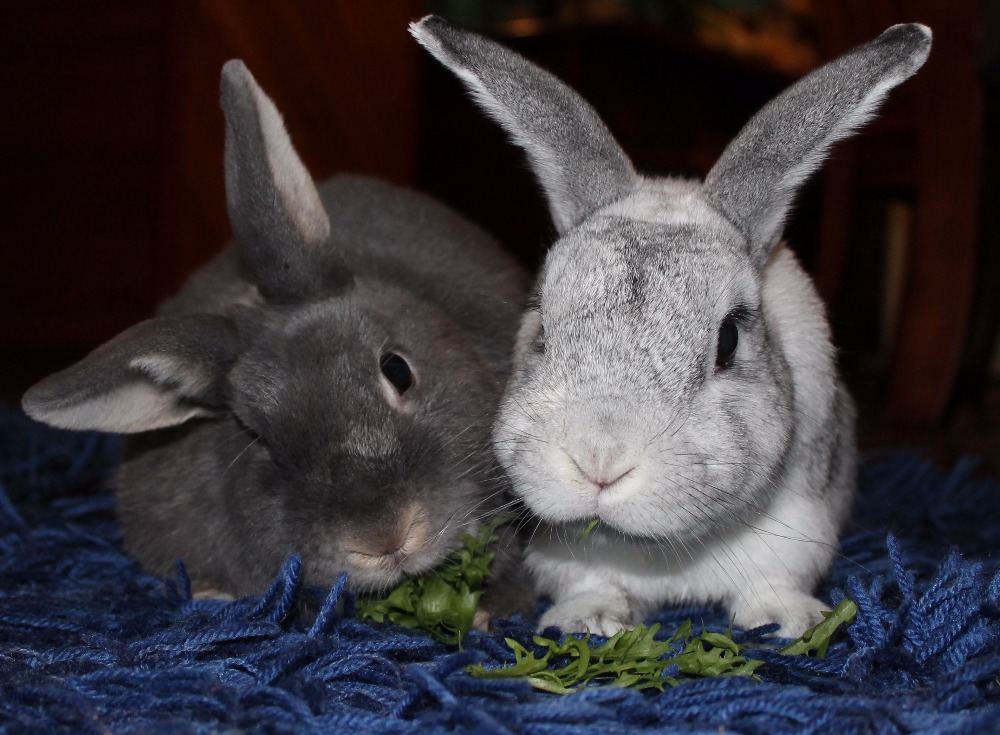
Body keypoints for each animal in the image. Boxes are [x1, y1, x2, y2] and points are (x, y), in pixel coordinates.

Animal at [411, 16, 932, 635]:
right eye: (542, 327)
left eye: (729, 340)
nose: (599, 461)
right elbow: (590, 582)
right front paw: (588, 620)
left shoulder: (803, 526)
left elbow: (773, 580)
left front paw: (786, 620)